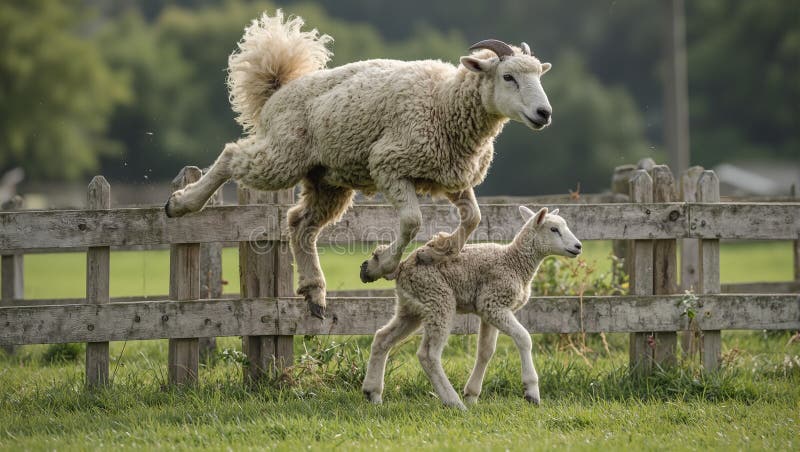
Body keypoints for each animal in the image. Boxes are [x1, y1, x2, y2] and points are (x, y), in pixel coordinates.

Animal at [164, 11, 554, 319]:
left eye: (538, 76)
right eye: (508, 77)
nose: (544, 113)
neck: (445, 102)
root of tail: (278, 91)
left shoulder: (451, 177)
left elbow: (474, 218)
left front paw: (434, 252)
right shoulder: (389, 165)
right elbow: (412, 221)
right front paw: (378, 266)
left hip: (327, 180)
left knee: (300, 225)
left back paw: (314, 292)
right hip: (283, 156)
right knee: (232, 156)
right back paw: (181, 203)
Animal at [362, 206, 582, 410]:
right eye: (554, 229)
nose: (578, 246)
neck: (514, 263)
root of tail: (401, 268)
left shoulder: (488, 311)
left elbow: (486, 351)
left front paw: (472, 394)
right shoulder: (493, 303)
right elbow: (524, 338)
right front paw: (532, 392)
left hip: (412, 306)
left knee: (382, 338)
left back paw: (373, 394)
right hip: (438, 299)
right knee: (428, 354)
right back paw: (453, 402)